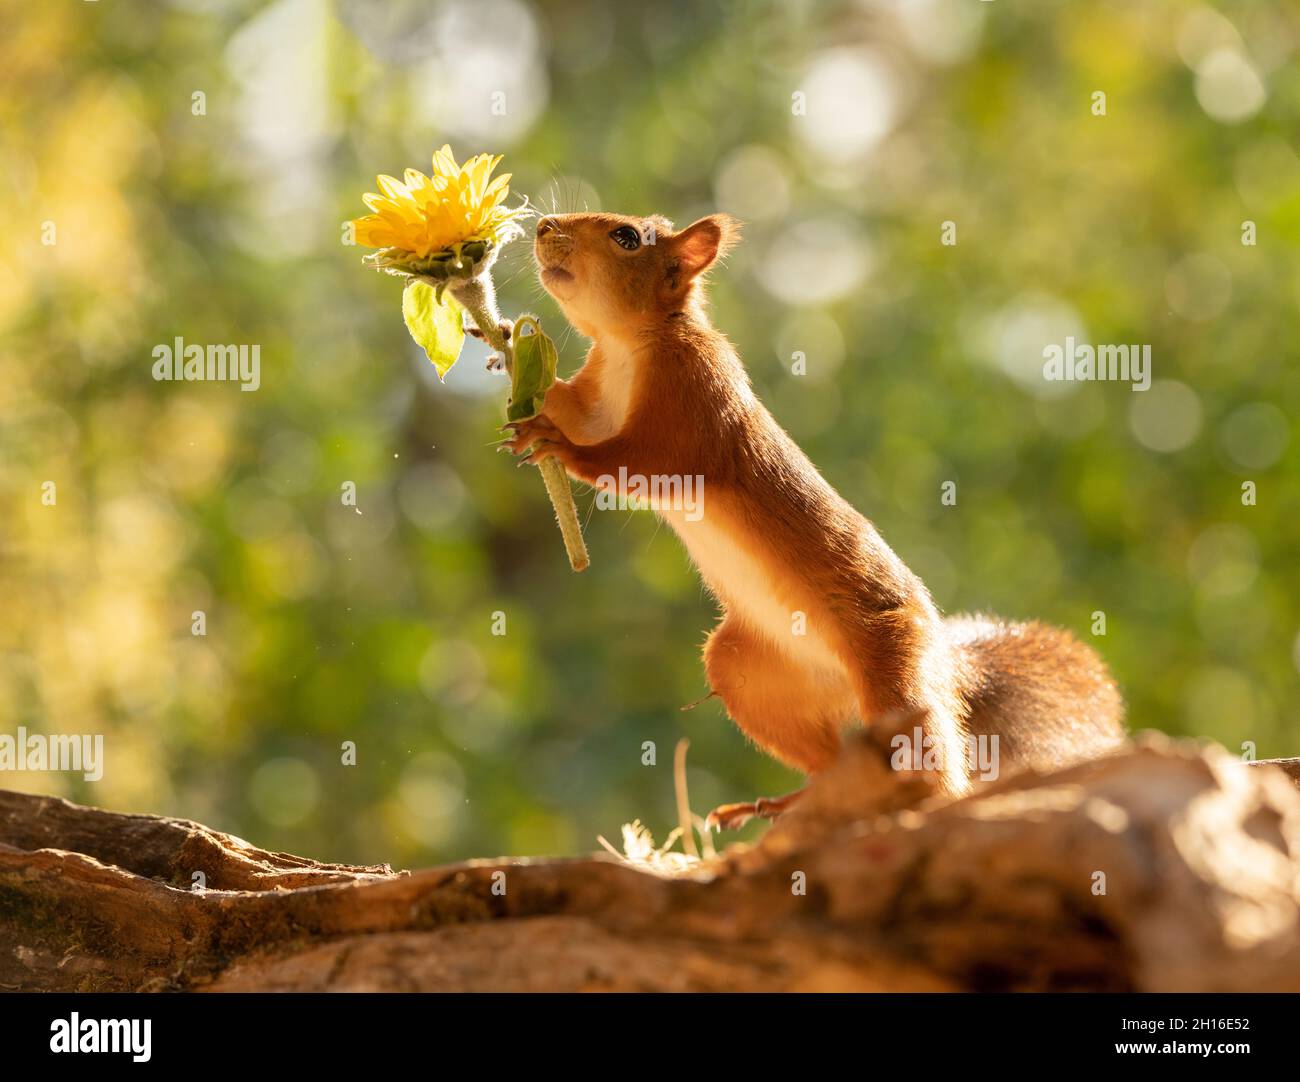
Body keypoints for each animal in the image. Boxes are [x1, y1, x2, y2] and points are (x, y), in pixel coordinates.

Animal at [505, 211, 1126, 830]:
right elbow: (572, 409)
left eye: (627, 238)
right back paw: (790, 803)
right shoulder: (597, 399)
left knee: (933, 770)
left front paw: (558, 446)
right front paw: (509, 354)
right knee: (825, 757)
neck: (627, 346)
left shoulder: (693, 409)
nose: (544, 225)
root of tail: (943, 659)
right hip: (750, 676)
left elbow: (635, 463)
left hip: (895, 674)